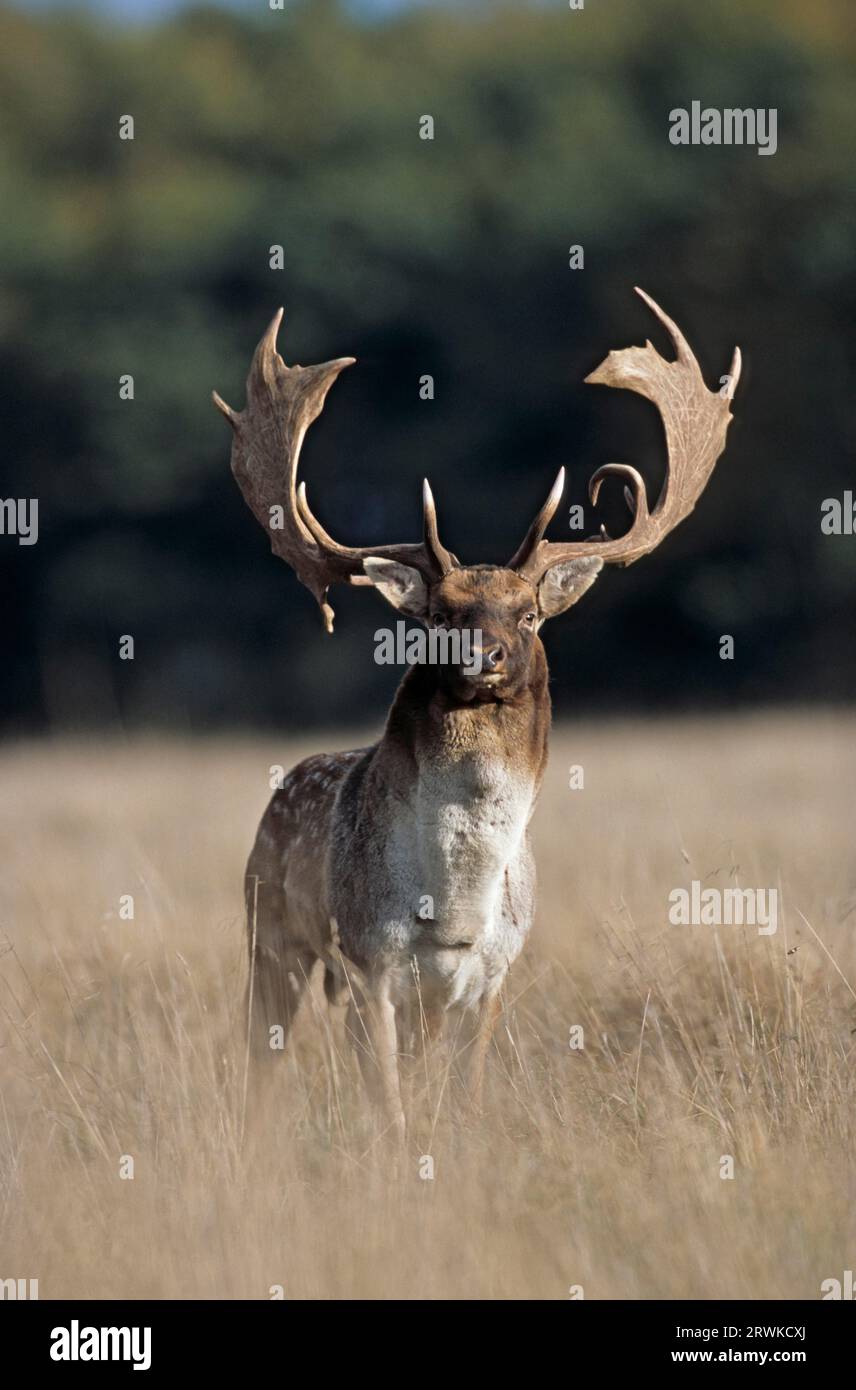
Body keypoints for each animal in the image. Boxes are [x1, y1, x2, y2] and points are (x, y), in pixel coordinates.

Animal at [213, 288, 740, 1140]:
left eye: (528, 614)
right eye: (440, 614)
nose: (482, 655)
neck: (452, 906)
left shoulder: (492, 975)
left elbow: (465, 1098)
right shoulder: (369, 963)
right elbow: (390, 1108)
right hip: (270, 930)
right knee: (264, 1059)